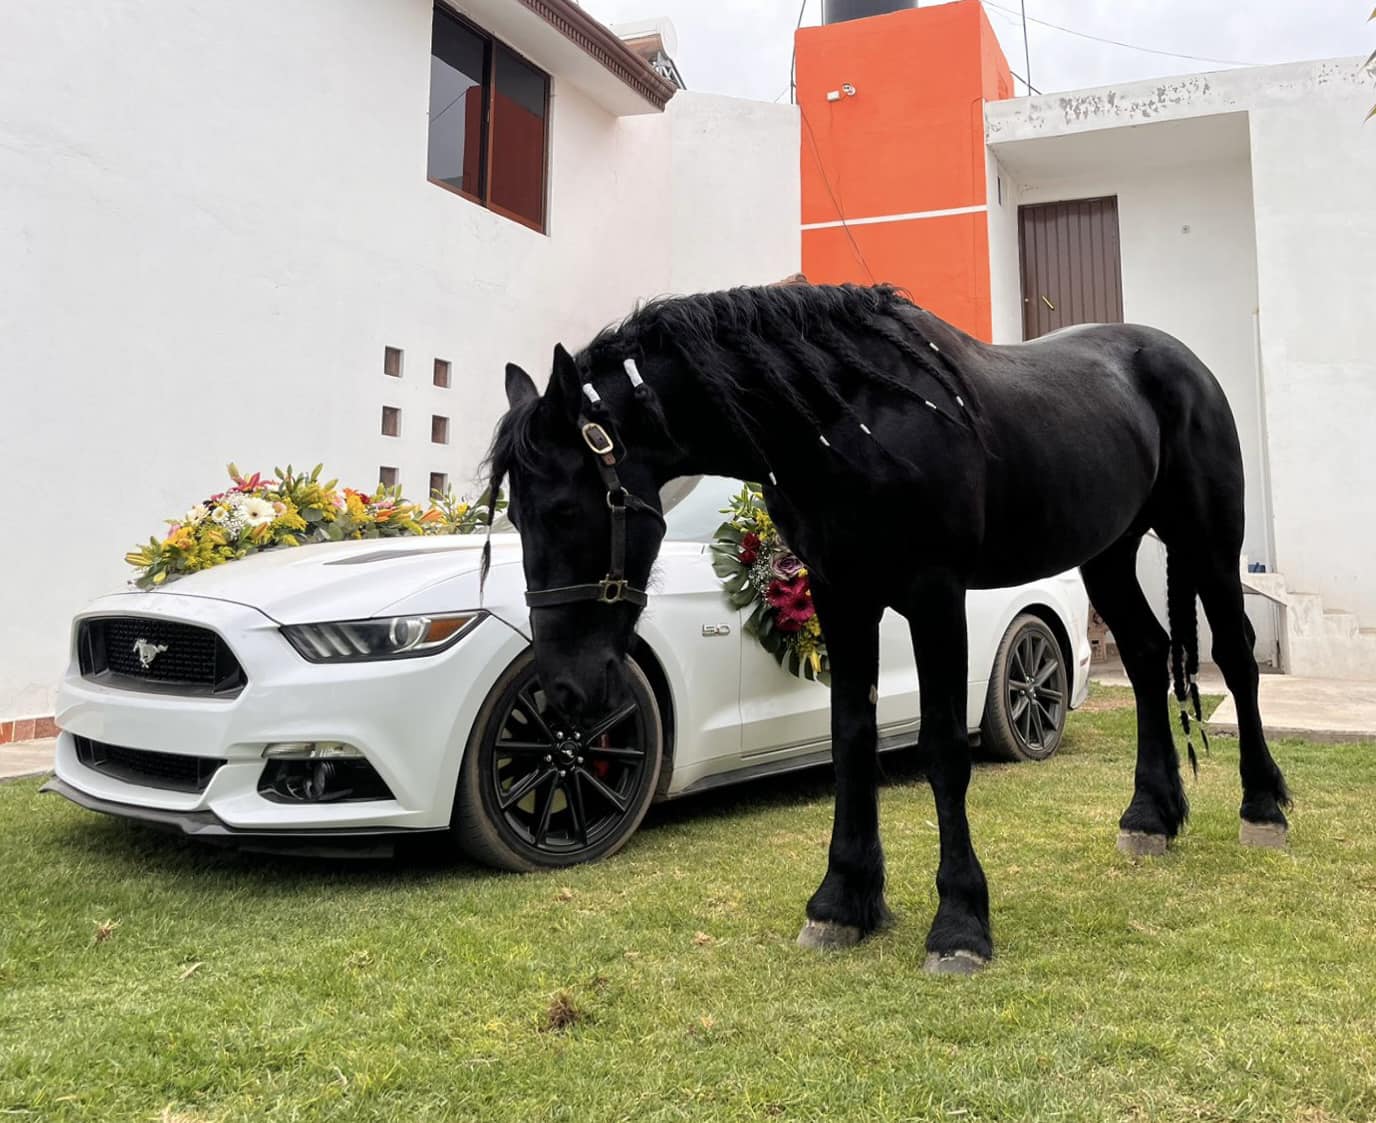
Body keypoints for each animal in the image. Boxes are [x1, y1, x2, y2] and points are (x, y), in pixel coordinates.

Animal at [485, 282, 1290, 973]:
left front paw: (960, 923)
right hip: (1109, 552)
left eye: (566, 509)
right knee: (1150, 656)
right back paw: (1150, 817)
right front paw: (842, 902)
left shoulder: (934, 594)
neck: (843, 420)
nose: (564, 688)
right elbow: (850, 736)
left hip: (1207, 540)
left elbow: (943, 747)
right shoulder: (843, 595)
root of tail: (1179, 360)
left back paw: (1264, 808)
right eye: (516, 513)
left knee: (1238, 658)